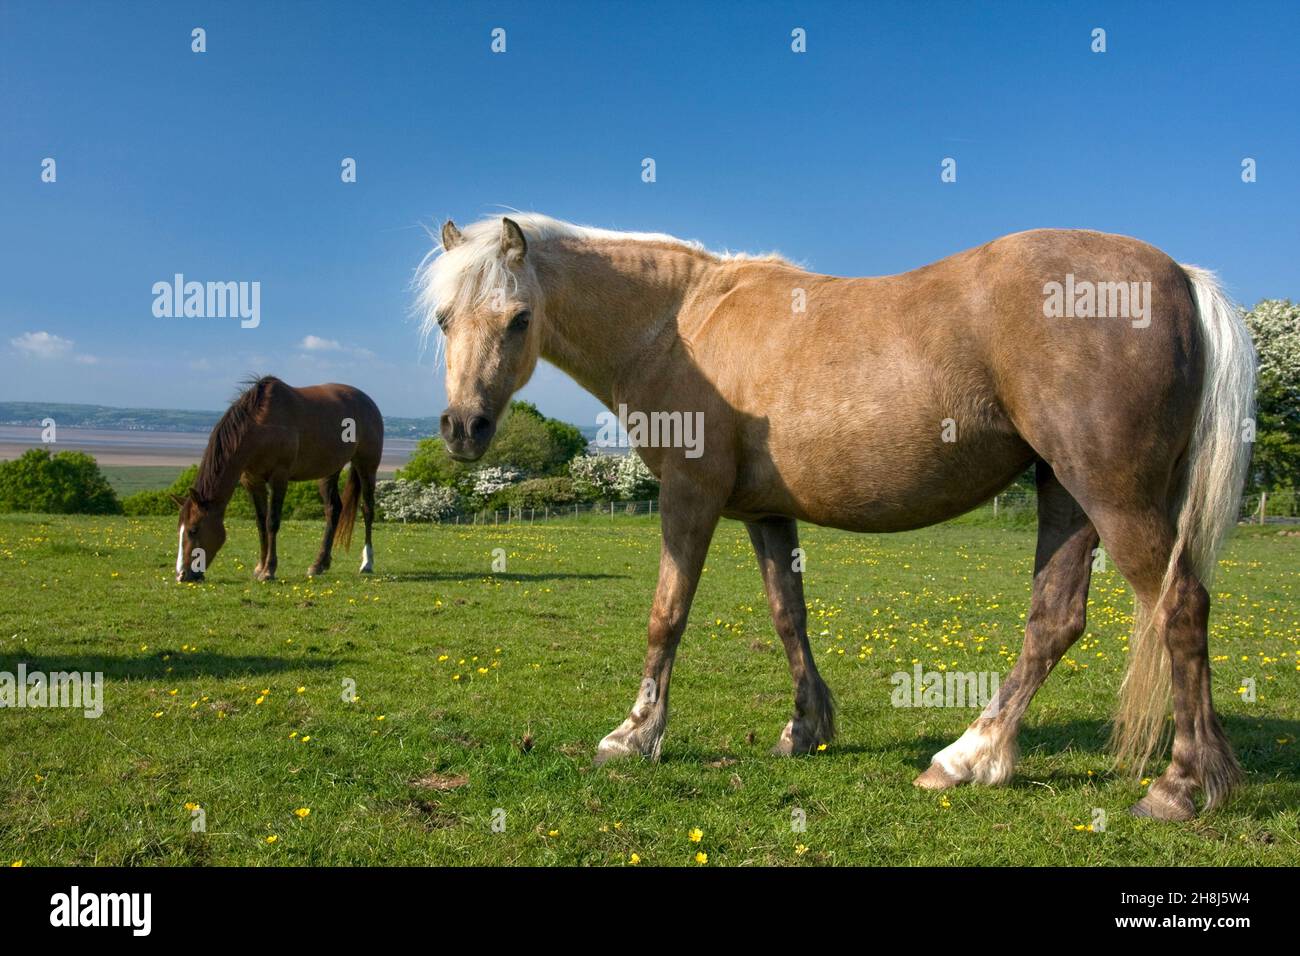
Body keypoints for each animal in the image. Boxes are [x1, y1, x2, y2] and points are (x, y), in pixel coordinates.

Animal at [174, 376, 384, 583]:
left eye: (193, 530)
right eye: (180, 529)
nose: (182, 575)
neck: (261, 427)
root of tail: (368, 402)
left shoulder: (279, 478)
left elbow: (272, 522)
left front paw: (269, 570)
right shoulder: (252, 481)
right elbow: (260, 523)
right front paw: (260, 567)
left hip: (366, 465)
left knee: (367, 509)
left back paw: (367, 563)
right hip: (329, 470)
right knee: (333, 510)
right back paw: (319, 564)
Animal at [418, 213, 1256, 821]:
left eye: (518, 317)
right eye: (443, 319)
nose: (462, 428)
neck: (683, 323)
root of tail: (1180, 276)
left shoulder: (690, 496)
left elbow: (667, 614)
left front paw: (635, 735)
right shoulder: (763, 514)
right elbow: (788, 615)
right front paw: (806, 728)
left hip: (1111, 493)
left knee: (1179, 607)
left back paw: (1180, 786)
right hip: (1066, 493)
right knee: (1054, 620)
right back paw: (967, 758)